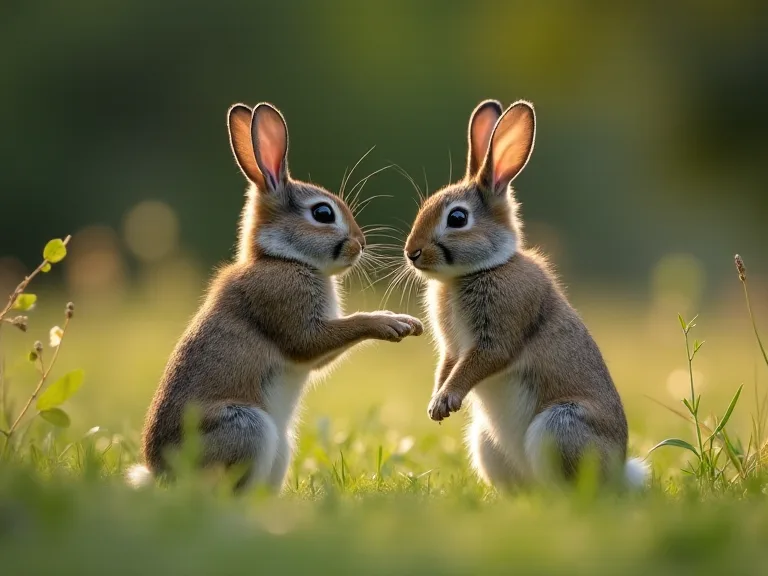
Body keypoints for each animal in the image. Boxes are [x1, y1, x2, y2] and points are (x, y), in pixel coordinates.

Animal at [127, 102, 423, 492]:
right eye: (323, 213)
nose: (360, 245)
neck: (282, 258)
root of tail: (164, 476)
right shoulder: (295, 321)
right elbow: (324, 336)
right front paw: (393, 323)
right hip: (247, 427)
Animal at [402, 99, 648, 490]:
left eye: (457, 218)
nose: (411, 253)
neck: (481, 269)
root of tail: (617, 474)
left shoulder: (496, 336)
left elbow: (478, 362)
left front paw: (444, 401)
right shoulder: (452, 349)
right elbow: (447, 366)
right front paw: (435, 404)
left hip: (560, 426)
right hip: (485, 442)